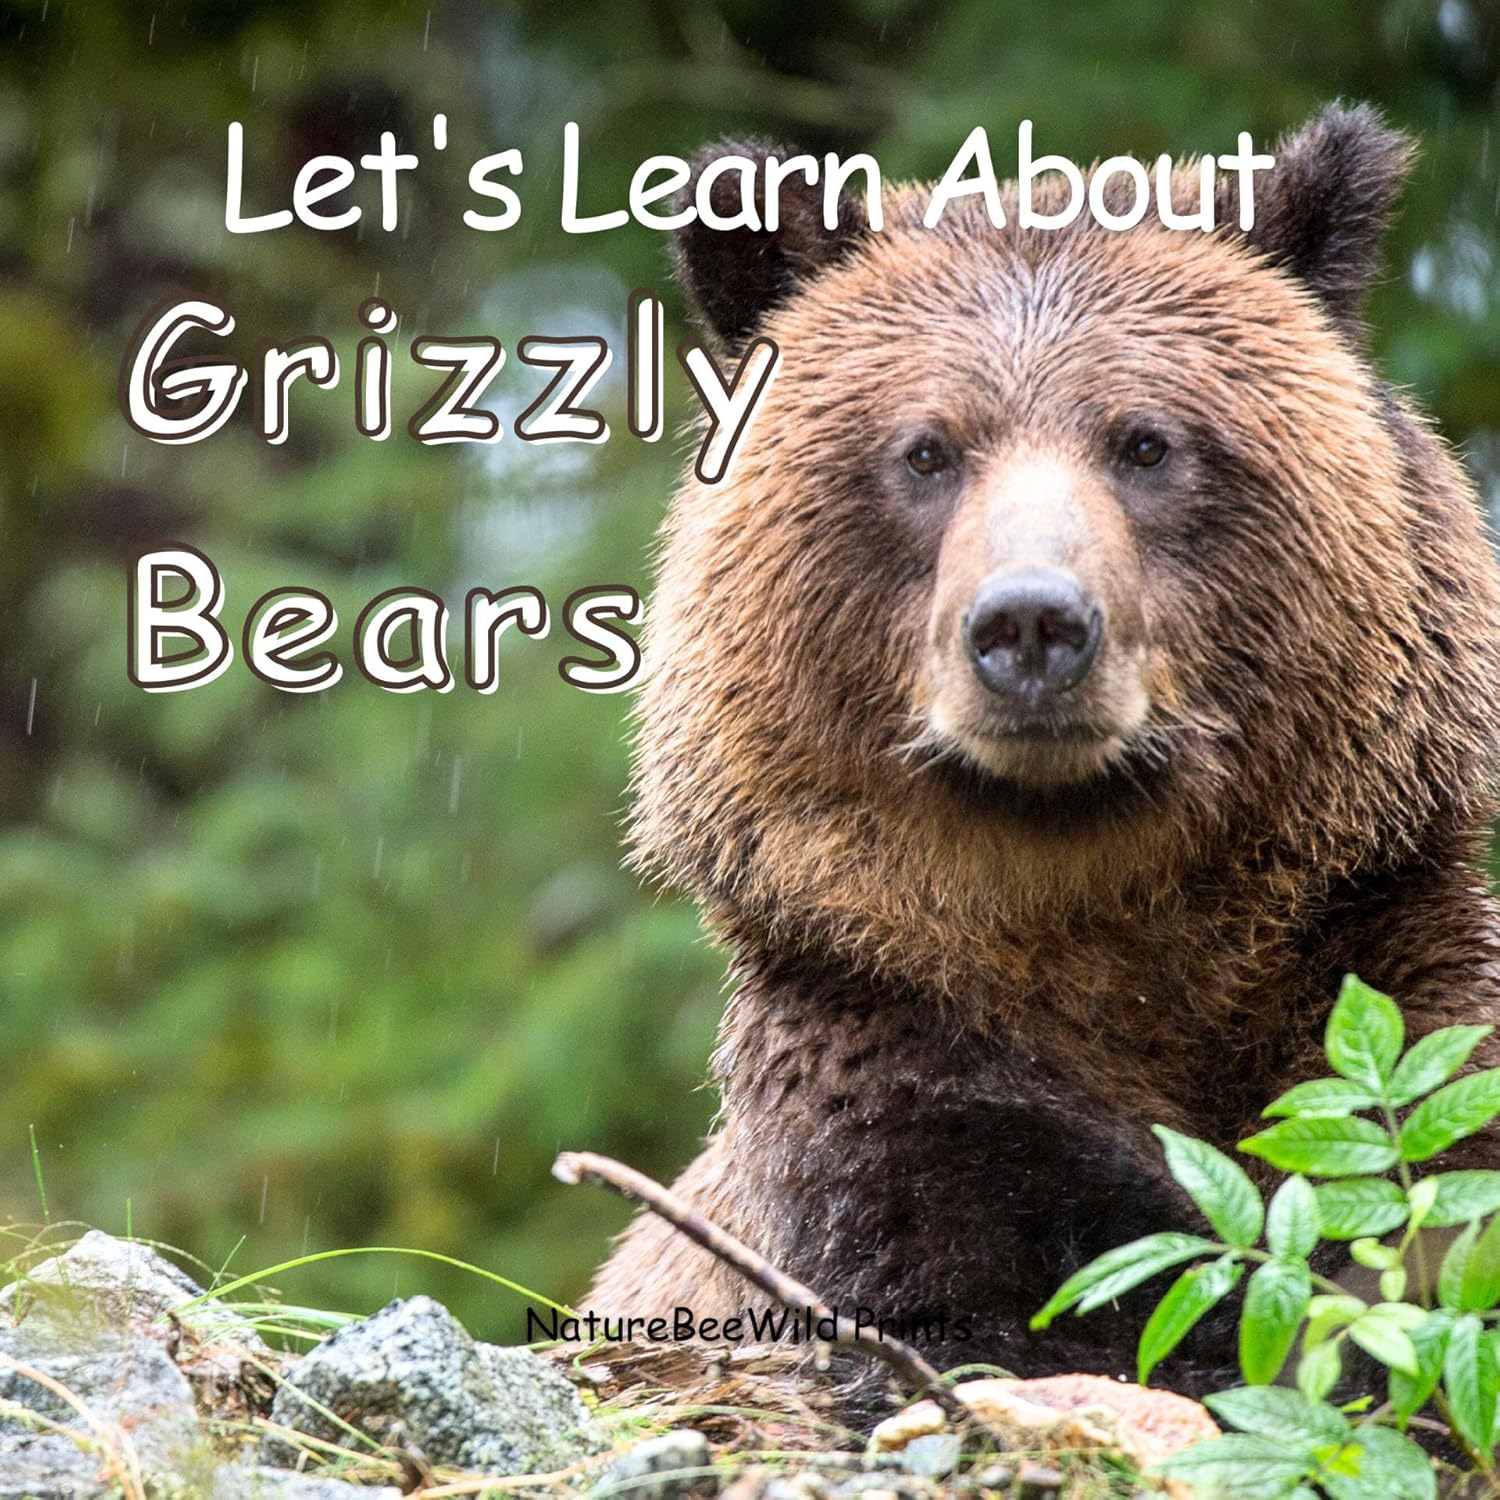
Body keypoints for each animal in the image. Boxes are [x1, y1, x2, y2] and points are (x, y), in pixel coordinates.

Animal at [587, 104, 1500, 1405]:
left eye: (1146, 442)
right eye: (926, 451)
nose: (1030, 623)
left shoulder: (1387, 965)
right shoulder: (885, 1054)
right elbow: (1018, 1282)